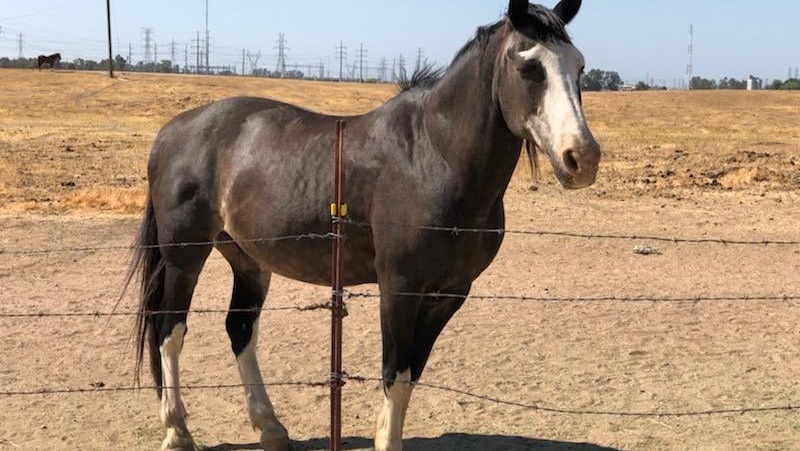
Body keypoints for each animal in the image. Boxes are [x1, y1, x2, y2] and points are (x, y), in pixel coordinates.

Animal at [123, 1, 600, 450]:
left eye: (580, 66)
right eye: (528, 65)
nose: (583, 158)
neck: (434, 156)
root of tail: (173, 132)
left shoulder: (449, 294)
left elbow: (412, 373)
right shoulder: (399, 288)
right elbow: (394, 373)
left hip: (248, 260)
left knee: (240, 329)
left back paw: (271, 428)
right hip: (185, 258)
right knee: (170, 332)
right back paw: (177, 430)